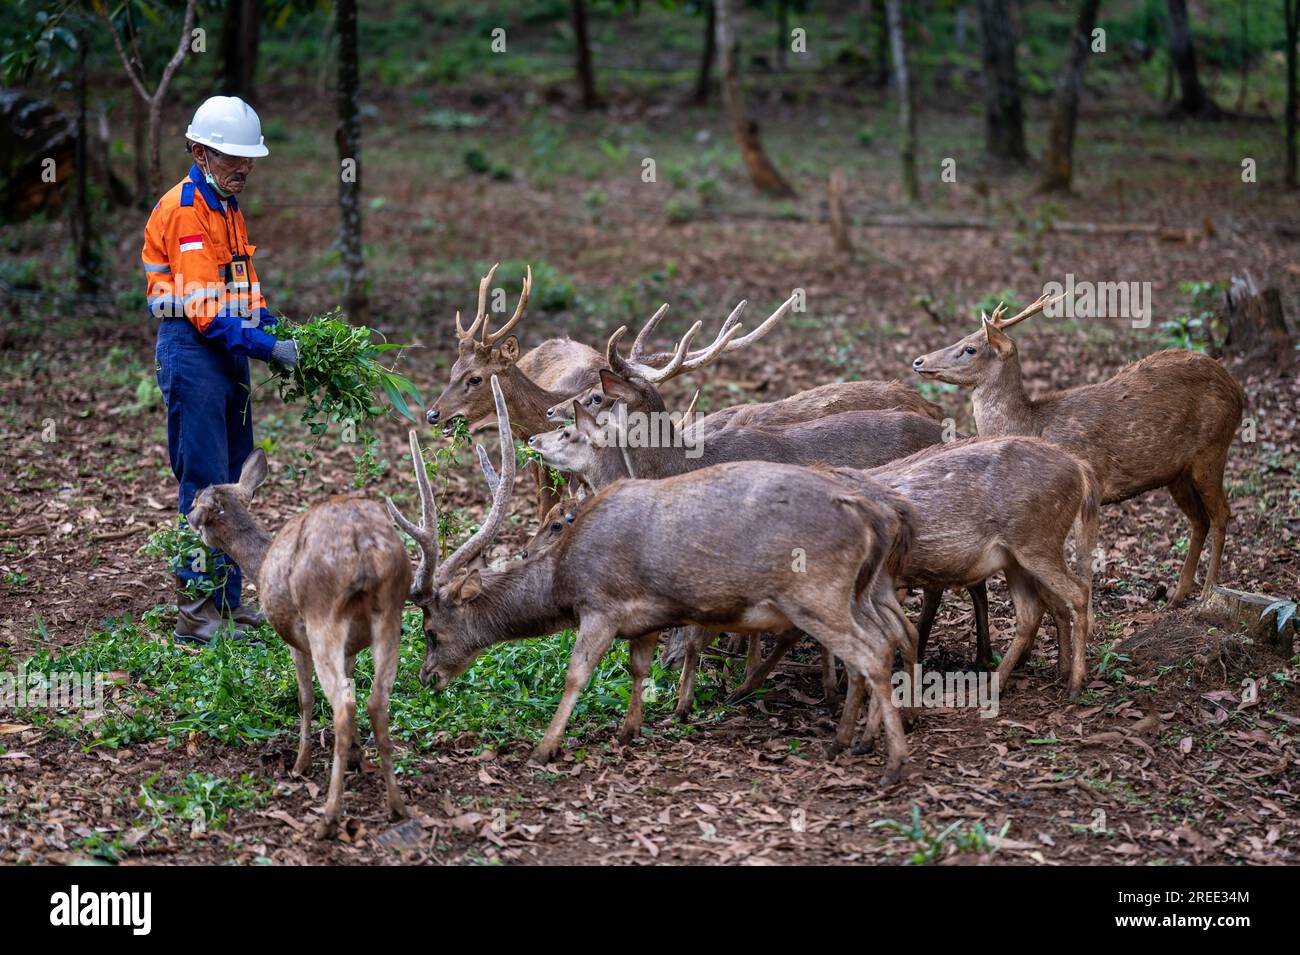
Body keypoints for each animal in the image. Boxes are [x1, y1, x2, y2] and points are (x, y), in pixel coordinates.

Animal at [185, 454, 409, 840]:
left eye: (198, 500)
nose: (187, 514)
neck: (261, 565)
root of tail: (363, 549)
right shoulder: (352, 648)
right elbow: (351, 680)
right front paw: (356, 757)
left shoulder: (294, 640)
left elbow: (304, 697)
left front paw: (301, 764)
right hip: (391, 614)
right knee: (376, 701)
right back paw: (395, 806)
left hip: (322, 615)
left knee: (343, 706)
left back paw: (329, 818)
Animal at [388, 376, 918, 783]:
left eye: (430, 630)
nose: (426, 677)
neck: (563, 580)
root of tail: (872, 517)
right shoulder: (644, 617)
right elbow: (638, 668)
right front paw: (632, 730)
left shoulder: (600, 605)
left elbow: (577, 673)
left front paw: (544, 748)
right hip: (855, 592)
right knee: (889, 638)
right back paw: (852, 739)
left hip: (815, 593)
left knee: (871, 651)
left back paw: (890, 762)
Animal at [912, 291, 1245, 607]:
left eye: (970, 348)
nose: (919, 361)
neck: (1031, 424)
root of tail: (1237, 390)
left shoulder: (1089, 486)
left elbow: (1083, 560)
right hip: (1177, 472)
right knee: (1199, 520)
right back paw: (1177, 596)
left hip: (1213, 449)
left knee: (1222, 514)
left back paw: (1207, 592)